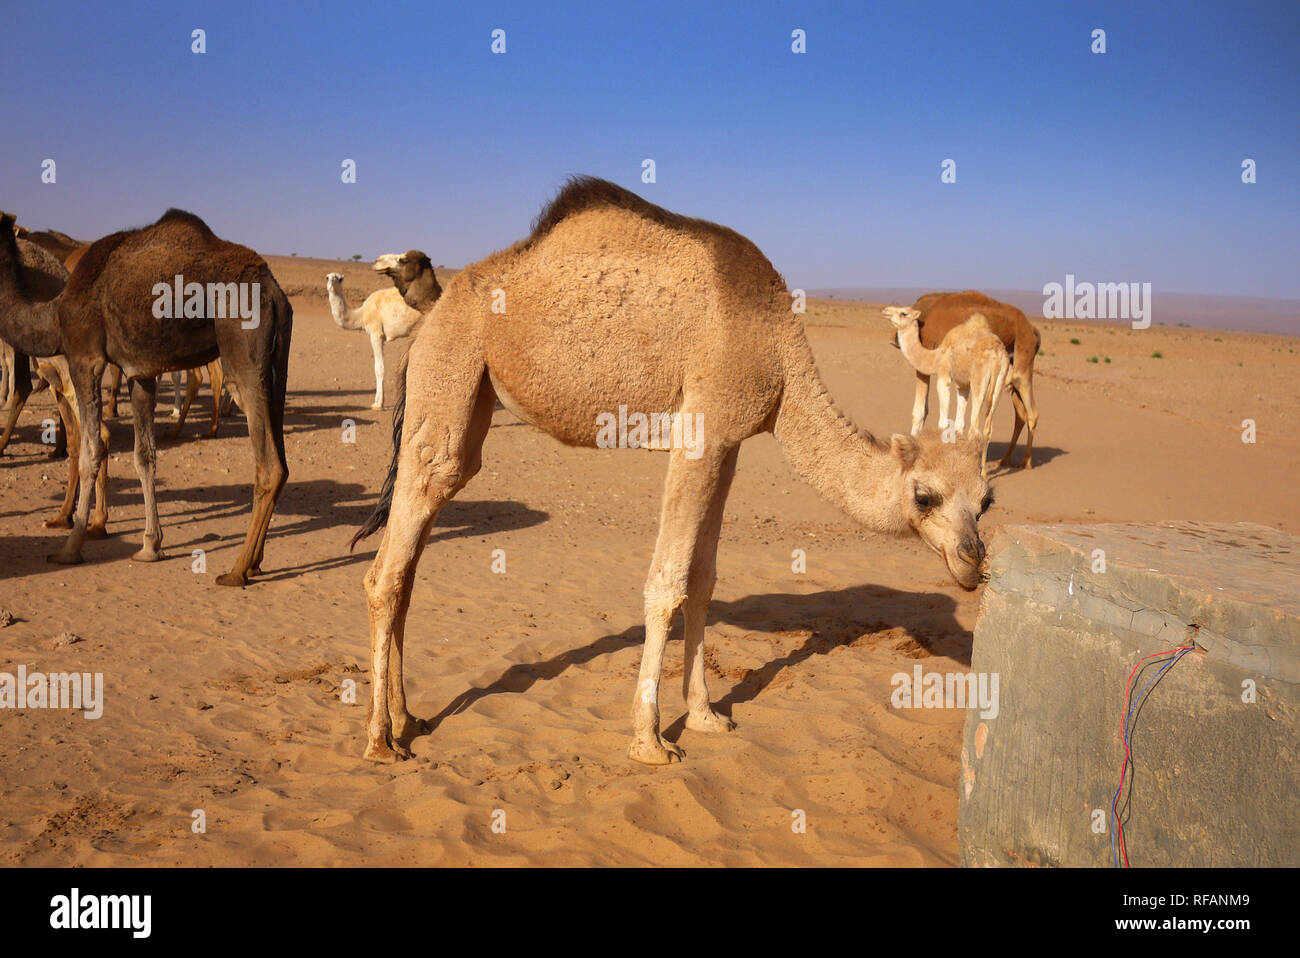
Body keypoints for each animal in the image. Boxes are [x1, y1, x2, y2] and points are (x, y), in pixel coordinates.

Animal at [0, 208, 292, 586]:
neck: (55, 312)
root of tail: (272, 290)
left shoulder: (84, 357)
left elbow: (91, 452)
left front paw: (70, 547)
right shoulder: (139, 374)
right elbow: (144, 457)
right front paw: (150, 546)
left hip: (242, 349)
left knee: (269, 465)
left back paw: (237, 570)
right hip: (277, 361)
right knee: (281, 459)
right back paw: (255, 562)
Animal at [325, 271, 424, 408]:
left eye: (339, 279)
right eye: (327, 277)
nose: (331, 285)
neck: (361, 315)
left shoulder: (375, 333)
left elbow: (379, 368)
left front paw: (378, 404)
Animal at [351, 177, 993, 765]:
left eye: (986, 501)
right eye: (925, 496)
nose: (973, 562)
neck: (779, 359)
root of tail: (433, 315)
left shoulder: (728, 445)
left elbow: (703, 579)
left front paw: (707, 716)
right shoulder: (699, 434)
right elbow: (666, 582)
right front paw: (650, 740)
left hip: (468, 392)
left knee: (412, 556)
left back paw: (408, 718)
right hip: (452, 366)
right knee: (390, 565)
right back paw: (381, 741)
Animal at [885, 307, 1010, 477]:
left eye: (903, 313)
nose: (886, 311)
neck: (936, 356)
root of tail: (997, 355)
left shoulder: (944, 376)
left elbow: (943, 424)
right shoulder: (963, 386)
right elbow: (958, 425)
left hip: (979, 379)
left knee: (975, 428)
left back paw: (977, 471)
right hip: (1000, 380)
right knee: (987, 428)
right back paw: (984, 472)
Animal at [897, 291, 1041, 468]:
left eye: (903, 313)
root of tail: (1033, 331)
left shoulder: (936, 367)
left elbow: (920, 412)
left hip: (1023, 367)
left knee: (1032, 413)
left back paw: (1025, 462)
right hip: (1008, 378)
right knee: (1020, 414)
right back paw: (1004, 460)